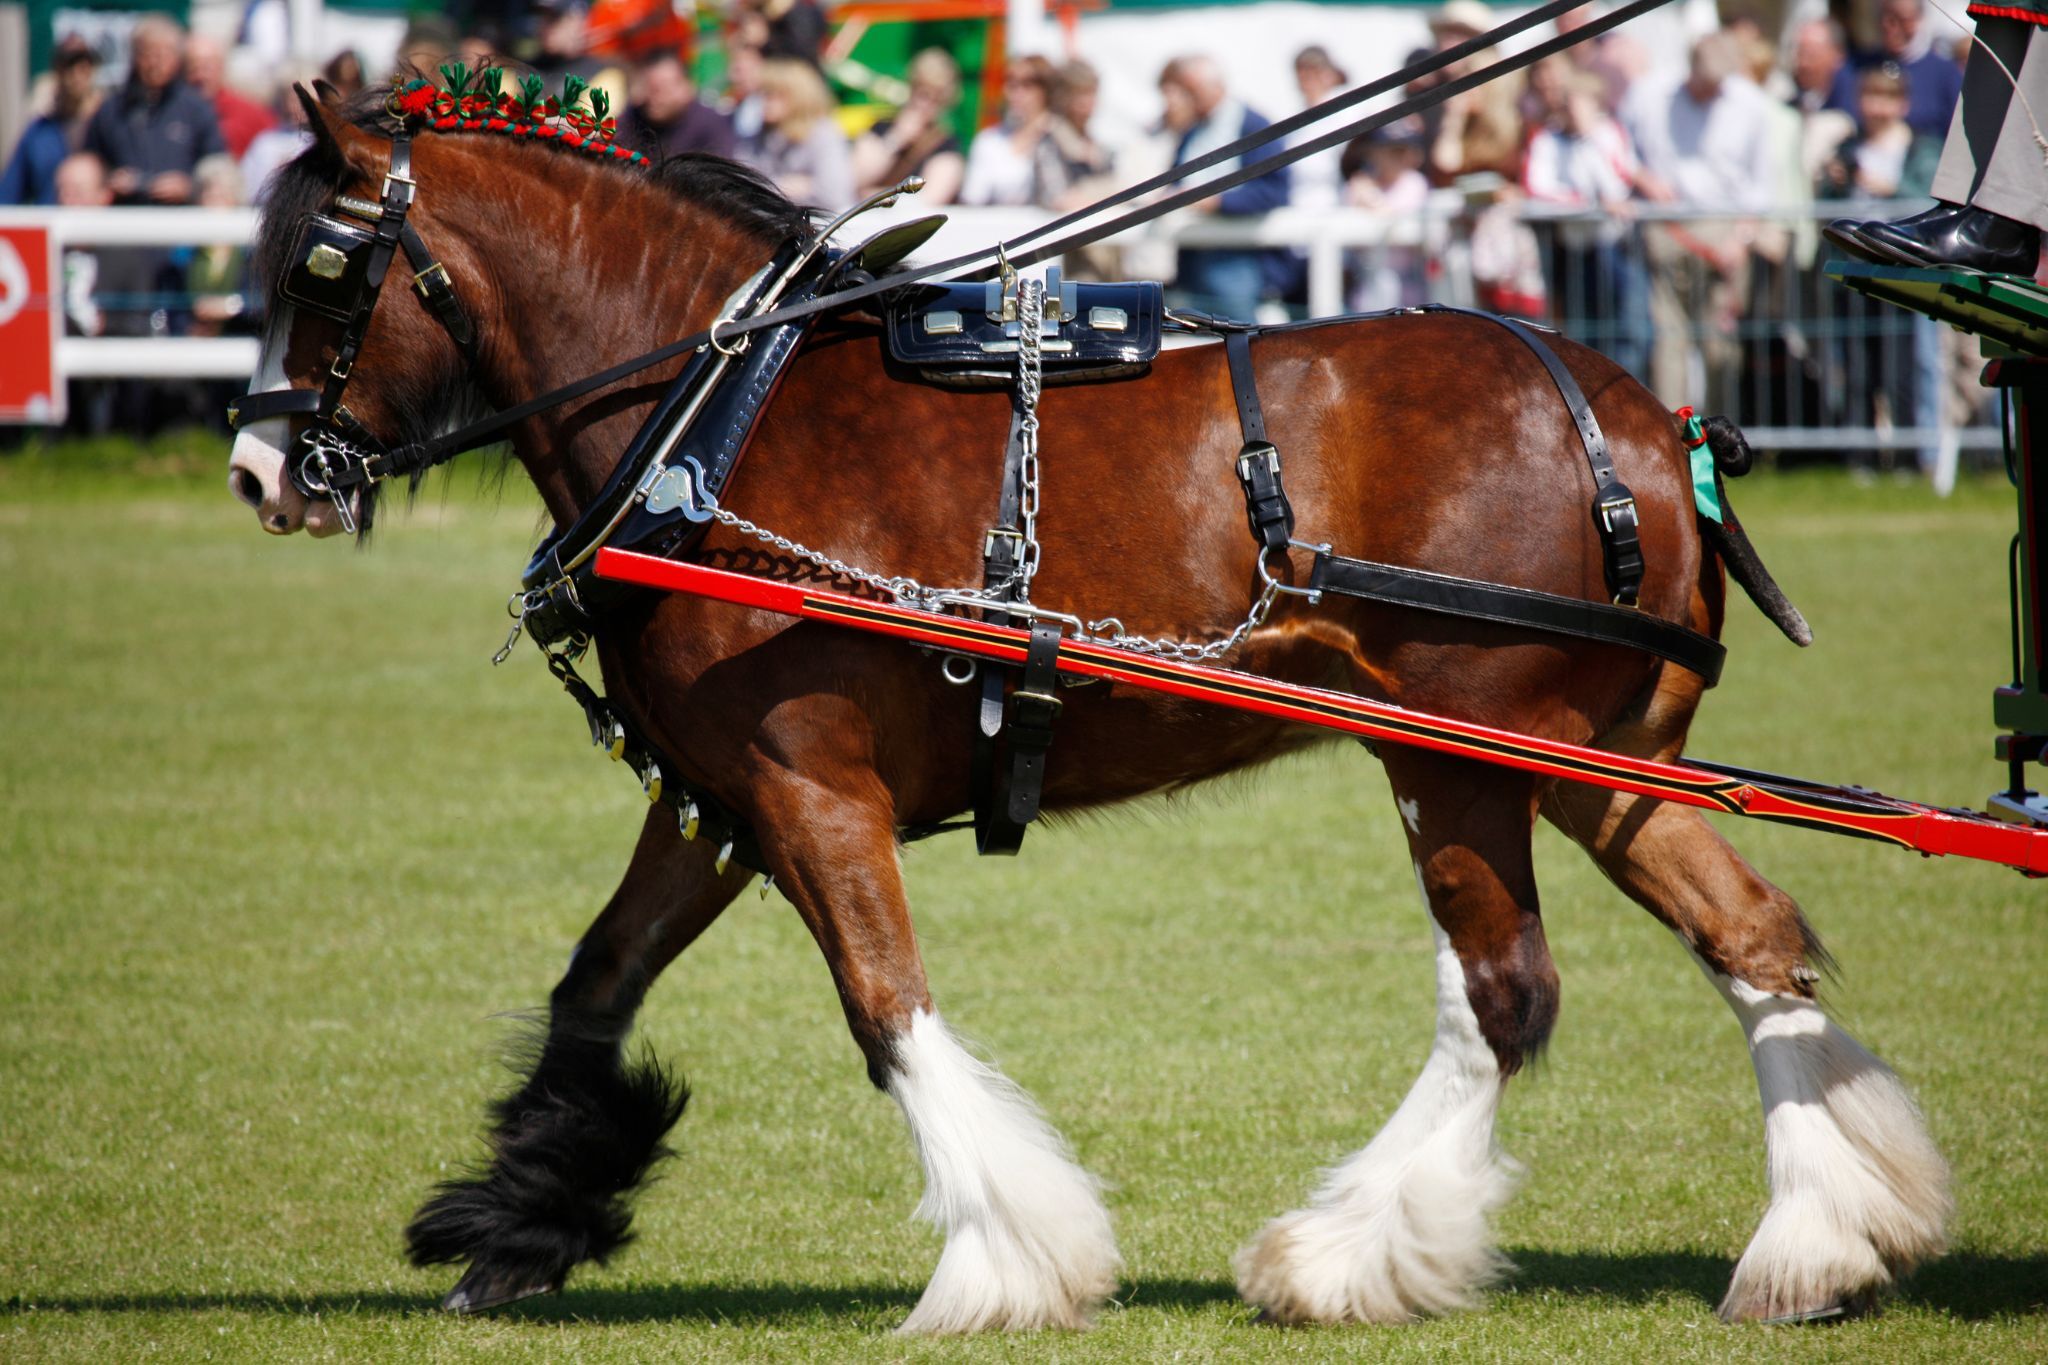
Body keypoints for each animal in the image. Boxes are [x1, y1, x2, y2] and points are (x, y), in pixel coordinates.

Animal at [225, 84, 1951, 1333]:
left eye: (323, 268)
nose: (258, 471)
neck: (718, 414)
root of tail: (1645, 419)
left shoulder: (810, 787)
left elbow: (886, 1005)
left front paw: (1006, 1259)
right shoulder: (721, 797)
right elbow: (597, 979)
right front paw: (520, 1220)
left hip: (1461, 753)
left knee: (1506, 992)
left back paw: (1343, 1253)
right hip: (1601, 763)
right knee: (1751, 936)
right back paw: (1816, 1244)